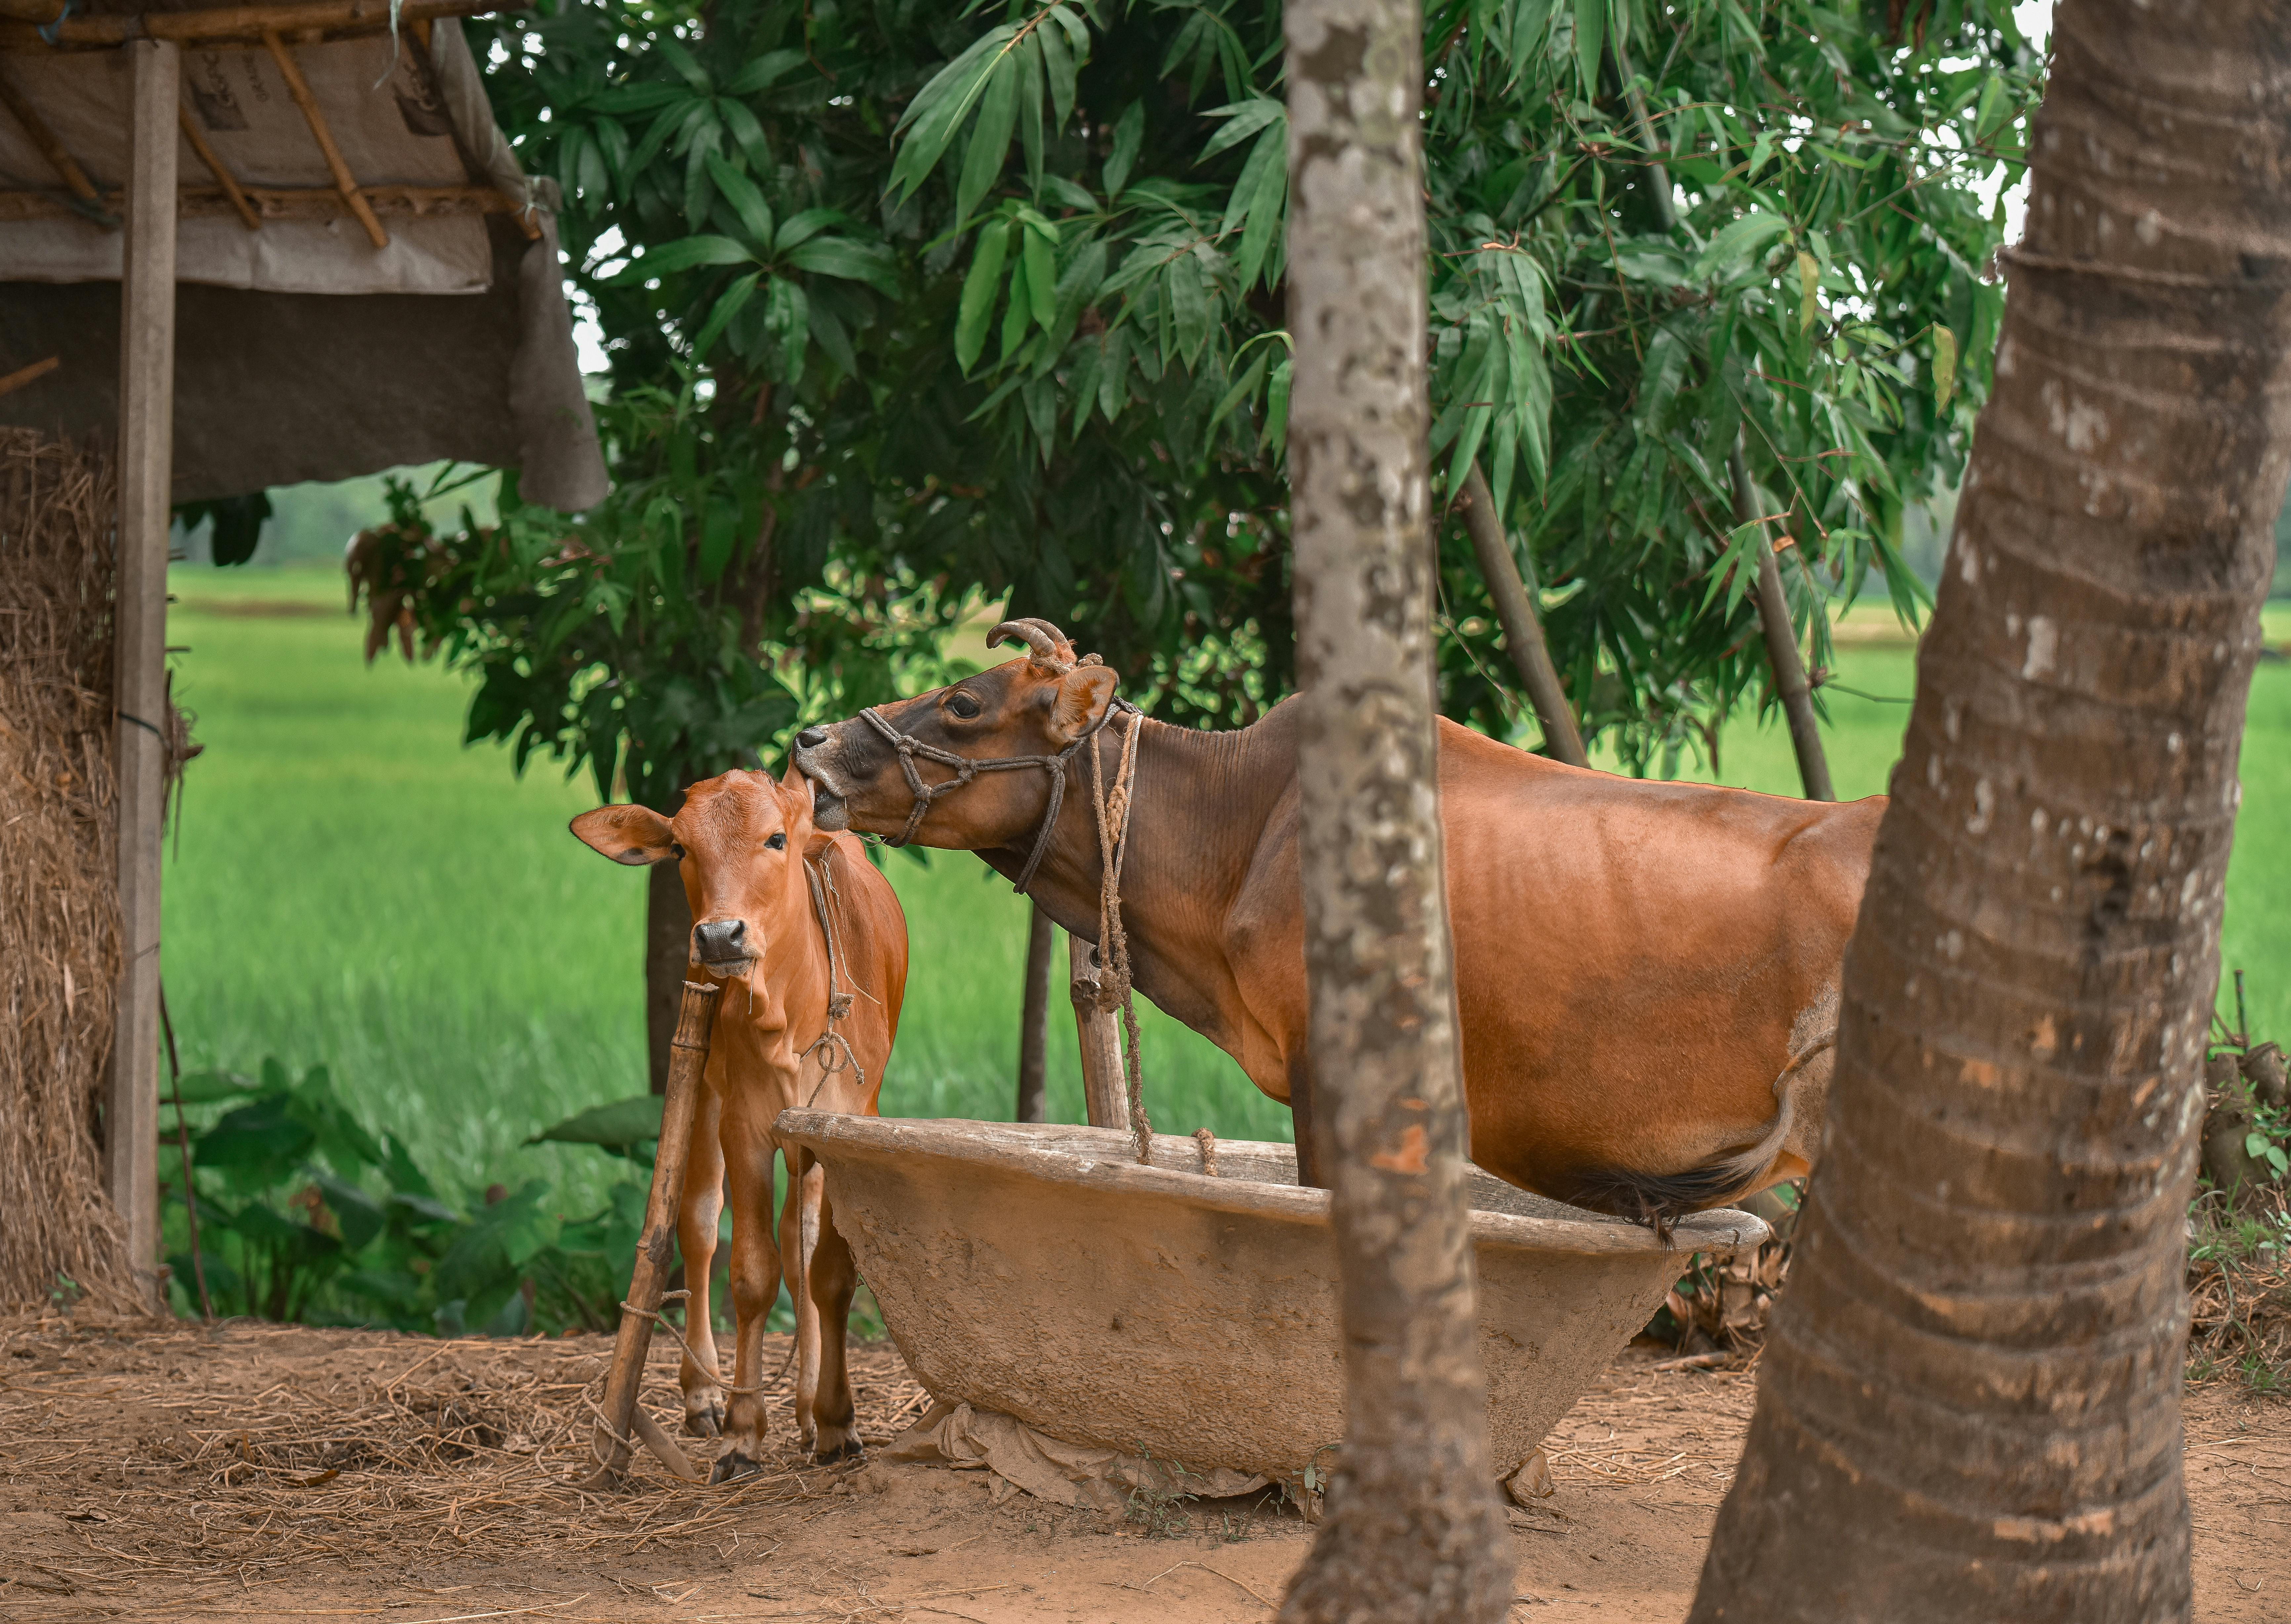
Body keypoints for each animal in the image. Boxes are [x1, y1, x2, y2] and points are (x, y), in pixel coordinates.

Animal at [571, 766, 907, 1475]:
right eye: (679, 847)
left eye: (776, 837)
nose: (720, 936)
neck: (792, 1011)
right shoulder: (745, 1127)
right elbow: (752, 1274)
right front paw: (742, 1431)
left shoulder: (842, 1128)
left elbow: (829, 1273)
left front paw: (835, 1422)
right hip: (701, 1093)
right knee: (699, 1227)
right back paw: (703, 1393)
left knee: (799, 1240)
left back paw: (805, 1409)